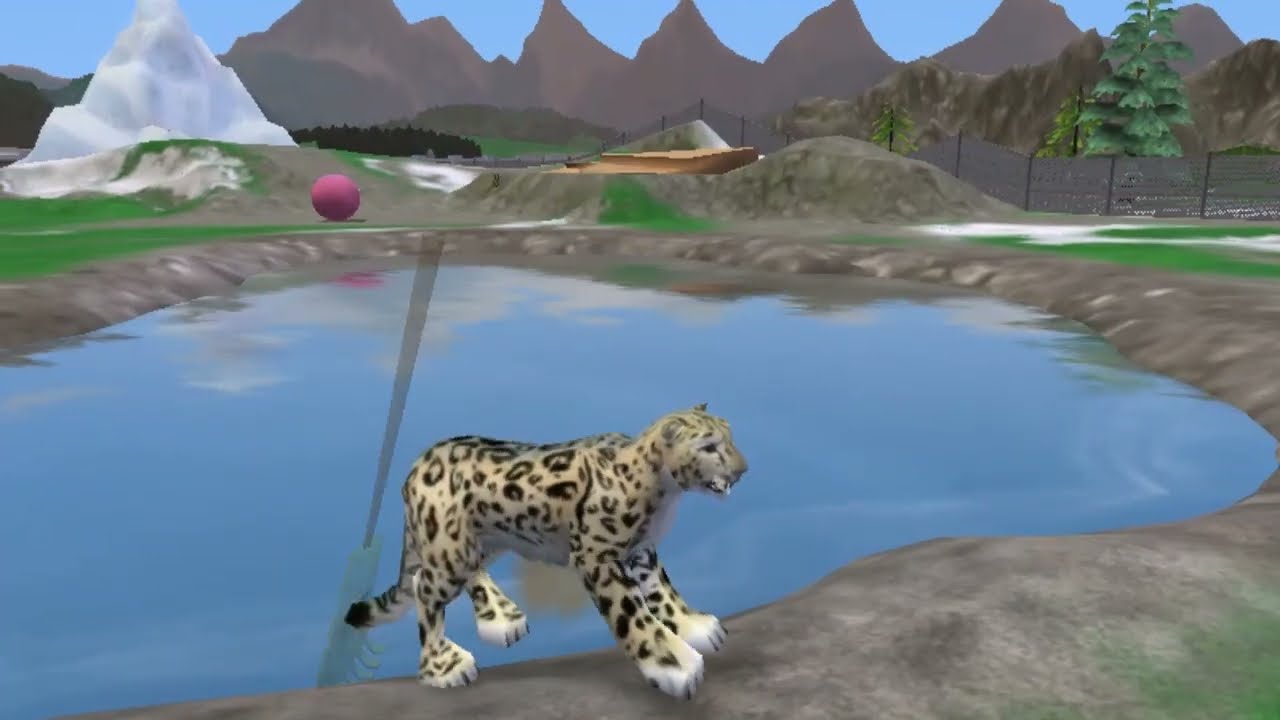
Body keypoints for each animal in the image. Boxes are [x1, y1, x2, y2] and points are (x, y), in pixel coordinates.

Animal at [344, 403, 748, 699]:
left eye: (730, 435)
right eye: (709, 446)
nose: (742, 469)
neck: (664, 493)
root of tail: (416, 467)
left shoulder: (641, 551)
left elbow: (662, 592)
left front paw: (695, 625)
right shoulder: (599, 558)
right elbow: (633, 615)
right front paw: (674, 665)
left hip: (485, 540)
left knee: (463, 573)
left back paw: (500, 617)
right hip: (450, 552)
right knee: (423, 587)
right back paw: (444, 666)